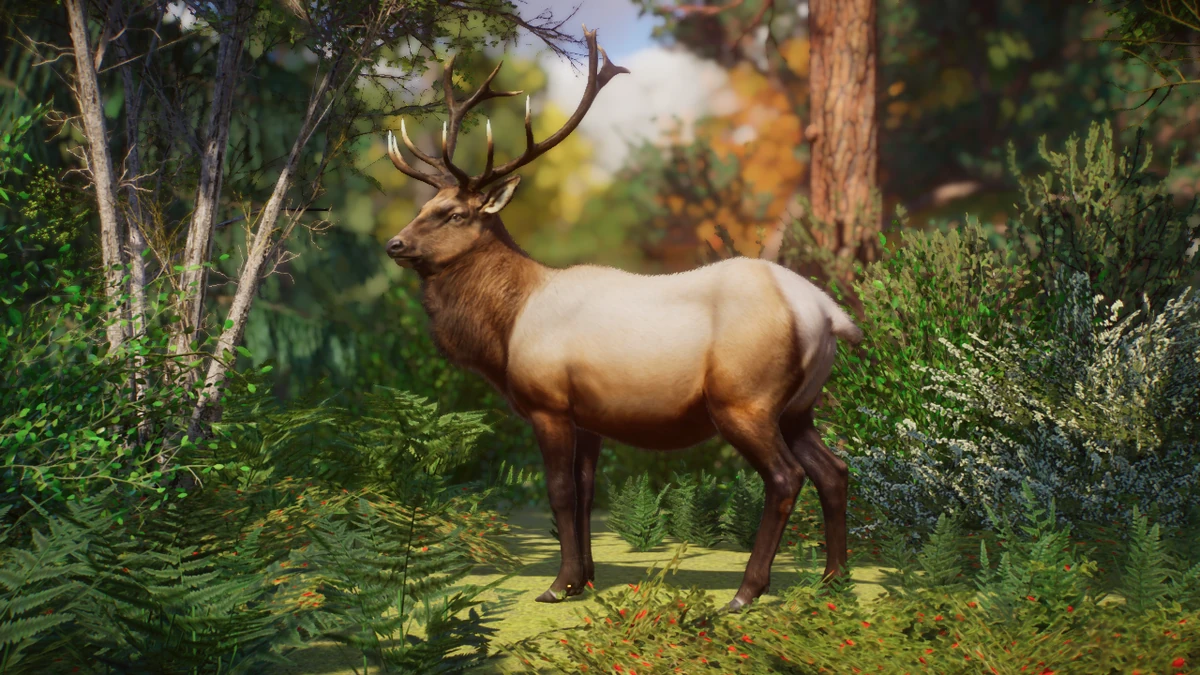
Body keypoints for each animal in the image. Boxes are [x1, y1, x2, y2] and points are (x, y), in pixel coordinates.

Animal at [381, 28, 863, 611]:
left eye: (453, 214)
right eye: (422, 206)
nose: (394, 243)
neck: (508, 329)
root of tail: (826, 313)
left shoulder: (548, 403)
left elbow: (560, 492)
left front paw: (557, 585)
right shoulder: (590, 416)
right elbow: (588, 492)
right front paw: (584, 579)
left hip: (745, 398)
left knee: (786, 478)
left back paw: (747, 592)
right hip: (799, 406)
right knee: (834, 470)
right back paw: (834, 580)